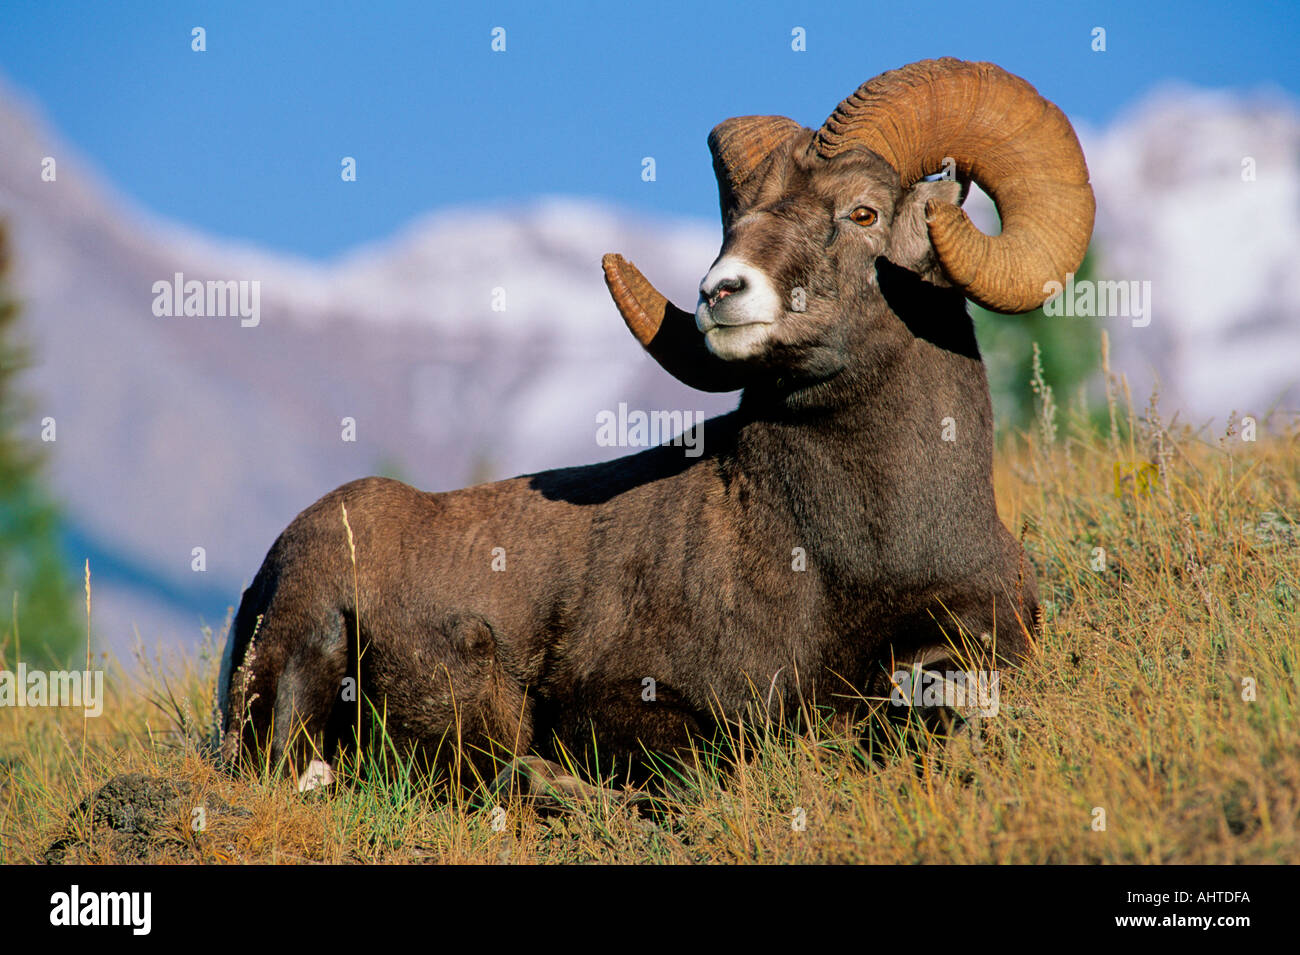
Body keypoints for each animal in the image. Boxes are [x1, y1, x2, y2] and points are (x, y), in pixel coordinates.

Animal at [219, 58, 1094, 793]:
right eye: (734, 223)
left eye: (863, 212)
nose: (720, 292)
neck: (852, 558)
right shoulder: (624, 702)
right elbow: (714, 763)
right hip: (305, 647)